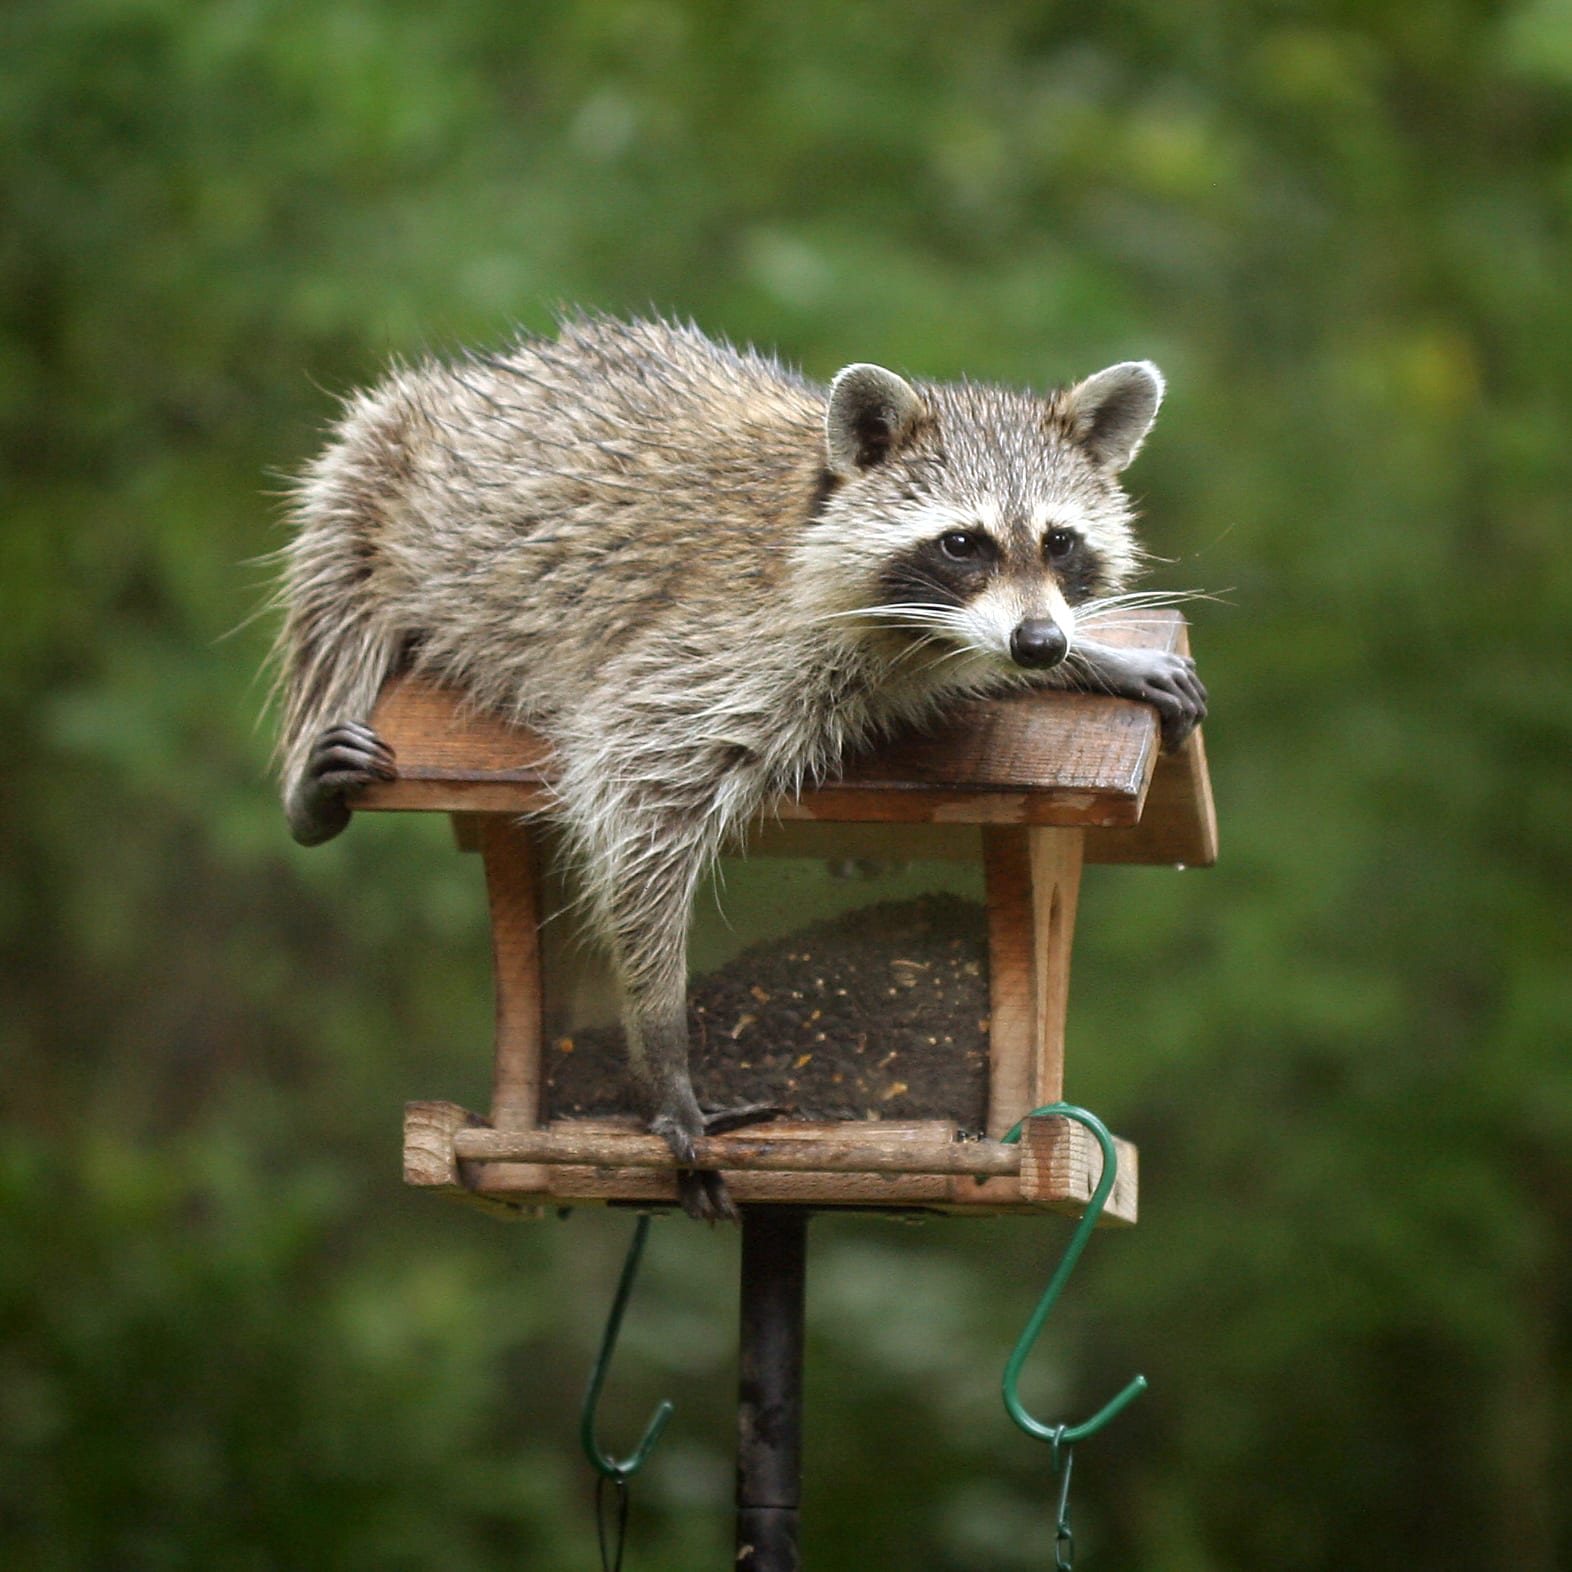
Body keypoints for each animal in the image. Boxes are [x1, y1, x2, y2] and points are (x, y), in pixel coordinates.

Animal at [272, 315, 1205, 1219]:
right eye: (961, 544)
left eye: (1060, 541)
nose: (1038, 643)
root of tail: (476, 376)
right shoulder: (722, 644)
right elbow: (635, 784)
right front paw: (662, 1046)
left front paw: (1090, 655)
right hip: (373, 473)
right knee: (334, 599)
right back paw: (310, 783)